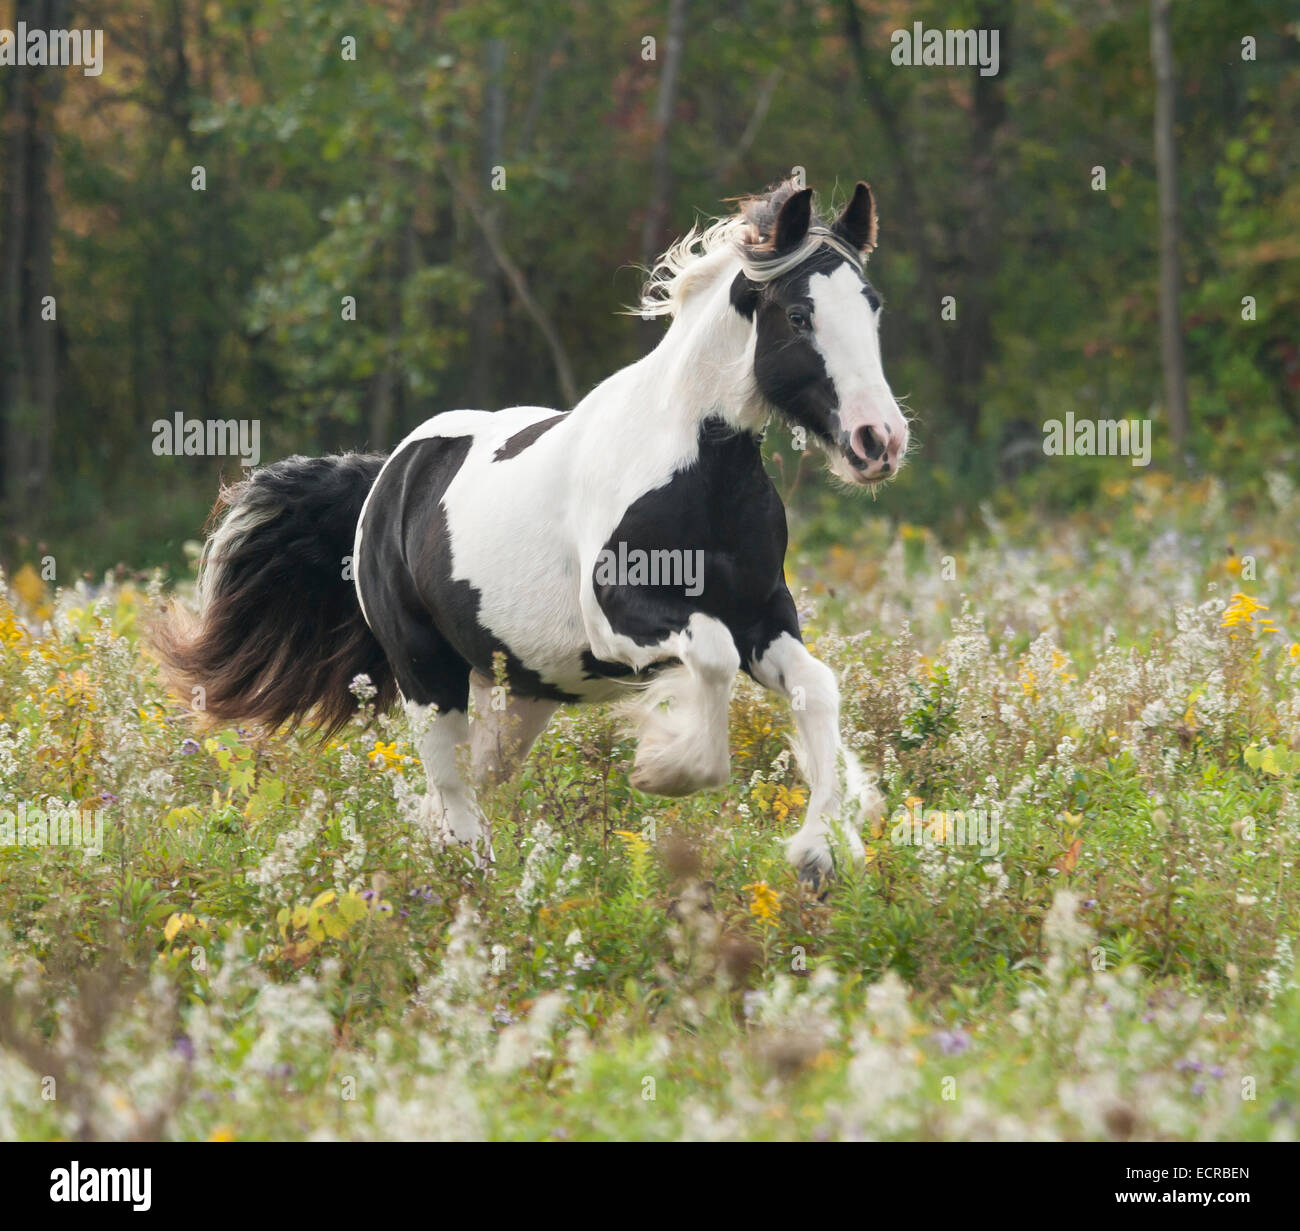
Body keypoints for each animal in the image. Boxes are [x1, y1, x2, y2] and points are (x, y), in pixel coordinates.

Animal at [154, 177, 910, 883]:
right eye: (800, 314)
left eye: (872, 305)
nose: (879, 440)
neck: (696, 469)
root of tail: (385, 476)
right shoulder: (623, 618)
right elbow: (714, 660)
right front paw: (669, 766)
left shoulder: (765, 615)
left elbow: (818, 687)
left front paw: (819, 852)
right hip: (427, 676)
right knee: (453, 789)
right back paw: (472, 883)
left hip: (518, 695)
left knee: (457, 789)